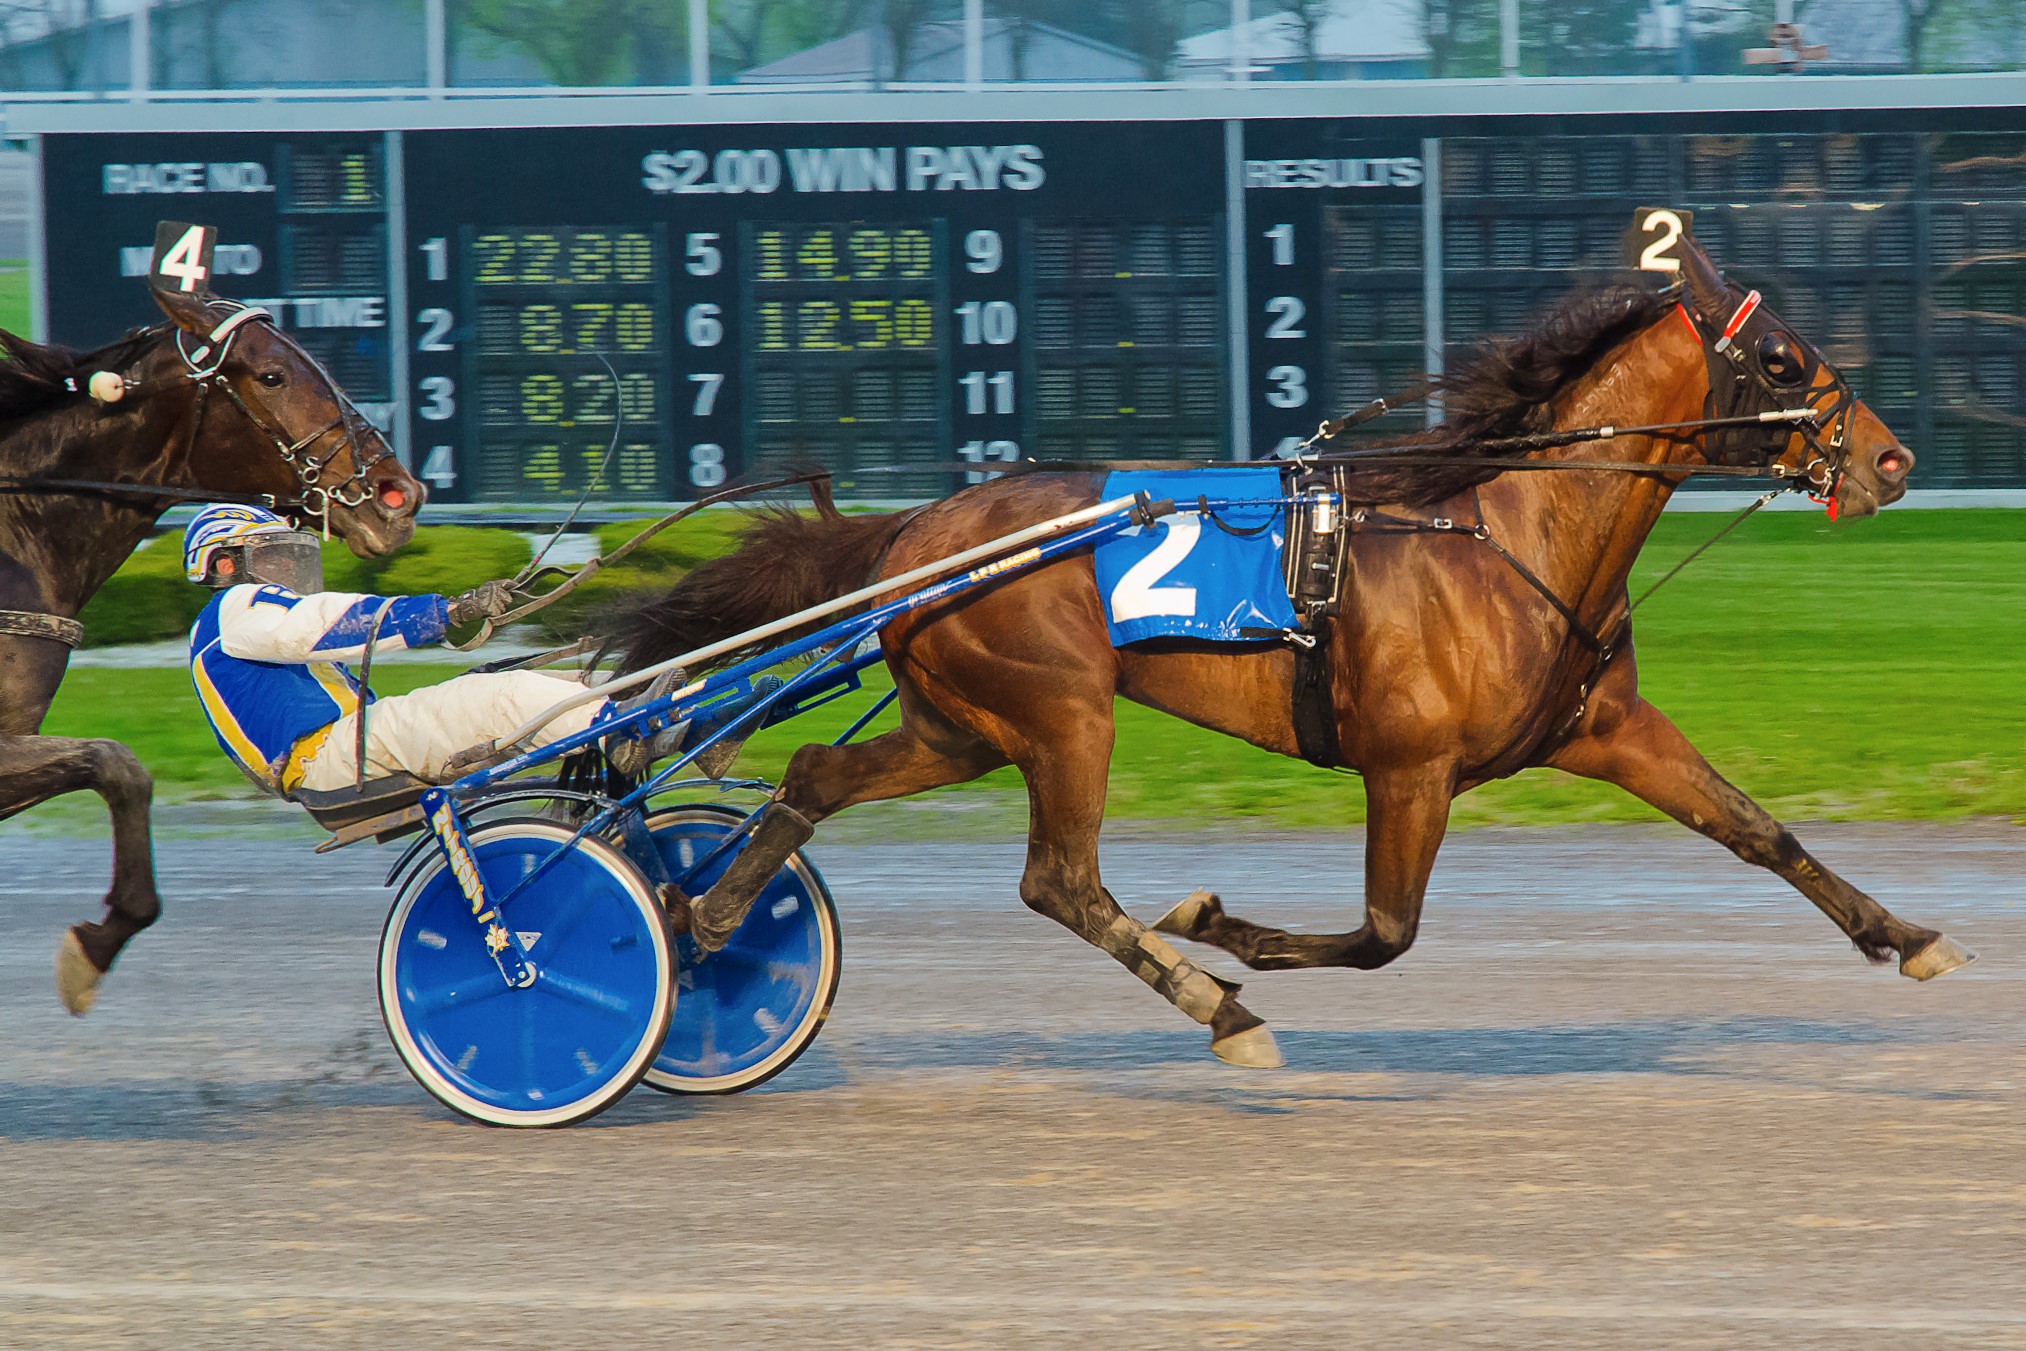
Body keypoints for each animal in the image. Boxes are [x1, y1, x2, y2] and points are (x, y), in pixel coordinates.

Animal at [610, 230, 1972, 1068]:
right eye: (1782, 357)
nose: (1893, 455)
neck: (1509, 531)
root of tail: (915, 530)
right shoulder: (1409, 768)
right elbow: (1384, 931)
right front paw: (1222, 930)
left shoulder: (1606, 731)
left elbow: (1759, 830)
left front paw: (1908, 938)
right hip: (1062, 712)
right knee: (1059, 881)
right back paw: (1216, 1008)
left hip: (964, 725)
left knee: (813, 778)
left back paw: (703, 915)